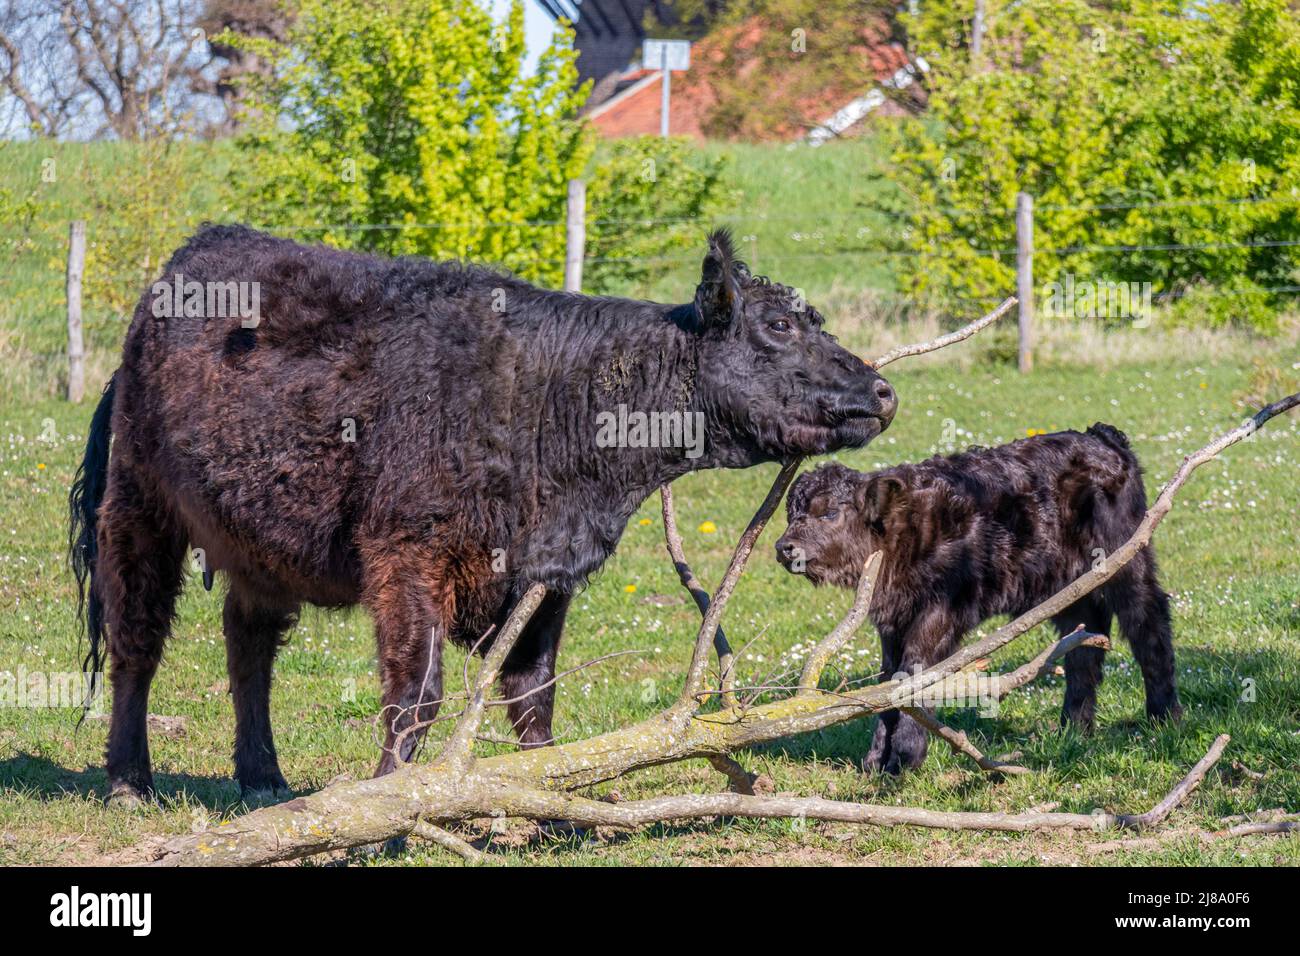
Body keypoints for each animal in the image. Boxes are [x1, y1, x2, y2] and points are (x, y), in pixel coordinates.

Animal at [69, 224, 897, 804]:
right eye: (779, 328)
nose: (883, 391)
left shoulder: (546, 571)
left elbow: (534, 692)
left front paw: (550, 800)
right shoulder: (408, 558)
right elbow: (416, 695)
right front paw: (389, 809)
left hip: (258, 542)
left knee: (249, 645)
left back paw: (263, 776)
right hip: (139, 507)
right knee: (136, 640)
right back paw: (129, 781)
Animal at [774, 425, 1181, 775]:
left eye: (829, 512)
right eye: (791, 513)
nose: (784, 547)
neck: (904, 533)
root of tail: (1102, 437)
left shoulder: (940, 612)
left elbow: (916, 671)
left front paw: (904, 756)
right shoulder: (891, 622)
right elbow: (888, 680)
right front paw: (876, 760)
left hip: (1126, 563)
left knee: (1148, 624)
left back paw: (1164, 718)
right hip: (1070, 590)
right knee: (1084, 649)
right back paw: (1073, 729)